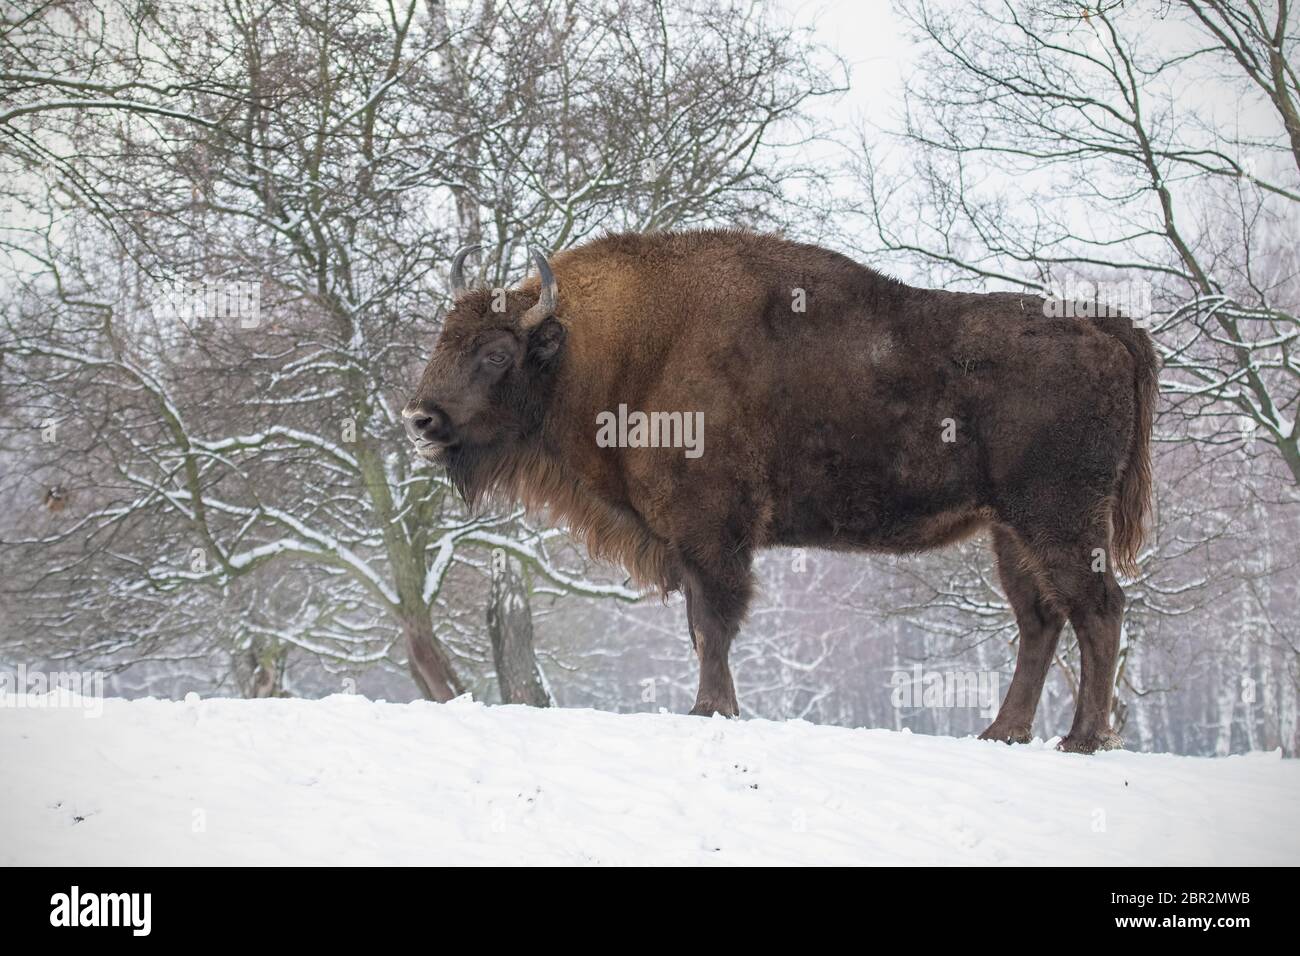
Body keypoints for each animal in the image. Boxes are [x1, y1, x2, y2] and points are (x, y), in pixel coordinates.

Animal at [406, 229, 1158, 753]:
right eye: (442, 336)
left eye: (496, 352)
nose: (420, 418)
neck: (625, 349)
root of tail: (1101, 325)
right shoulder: (694, 540)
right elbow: (701, 626)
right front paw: (714, 705)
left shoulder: (711, 531)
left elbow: (713, 623)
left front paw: (710, 708)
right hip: (1008, 529)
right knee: (1040, 619)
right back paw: (1003, 732)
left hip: (1059, 519)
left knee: (1097, 609)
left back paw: (1081, 739)